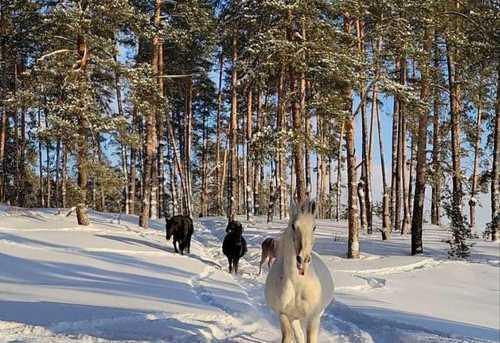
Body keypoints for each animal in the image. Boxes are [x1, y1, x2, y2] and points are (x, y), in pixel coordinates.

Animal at [264, 200, 334, 342]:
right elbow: (288, 336)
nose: (303, 258)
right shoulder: (283, 314)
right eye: (293, 226)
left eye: (314, 227)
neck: (297, 284)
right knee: (298, 334)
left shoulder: (313, 317)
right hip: (294, 318)